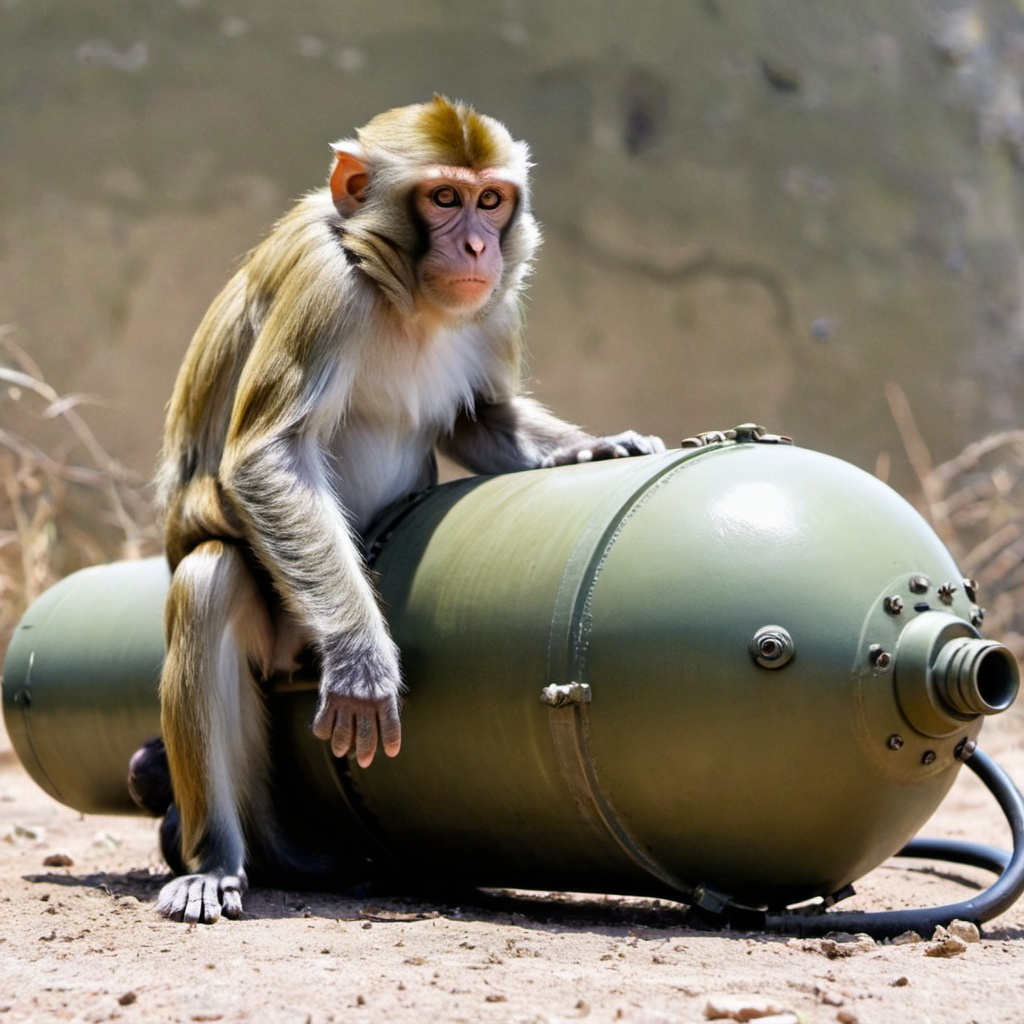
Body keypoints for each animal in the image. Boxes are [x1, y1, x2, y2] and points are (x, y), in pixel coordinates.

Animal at [149, 96, 664, 924]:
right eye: (445, 198)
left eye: (492, 200)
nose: (479, 245)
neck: (405, 296)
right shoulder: (326, 284)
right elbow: (270, 456)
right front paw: (364, 660)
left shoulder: (493, 308)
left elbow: (480, 417)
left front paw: (595, 449)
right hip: (292, 627)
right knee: (211, 578)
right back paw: (221, 857)